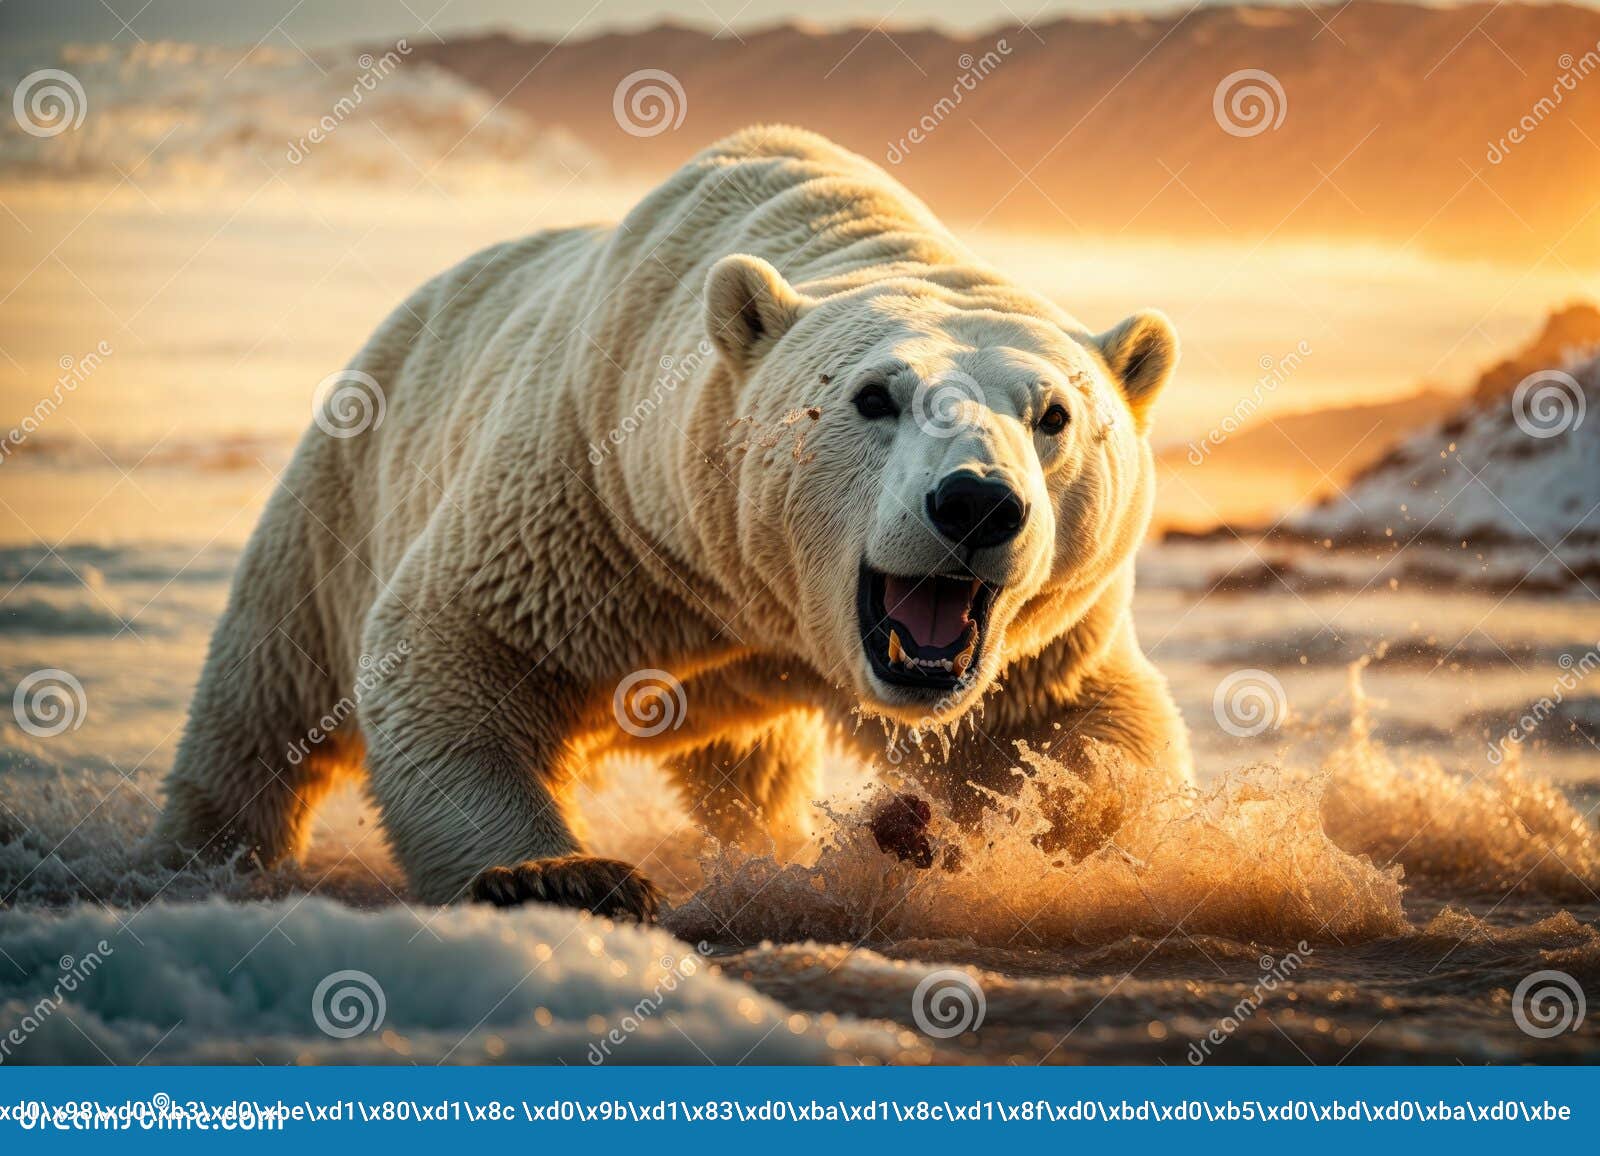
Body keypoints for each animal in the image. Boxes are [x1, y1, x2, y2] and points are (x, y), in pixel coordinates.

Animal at [152, 126, 1191, 919]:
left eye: (1053, 415)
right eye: (874, 396)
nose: (976, 501)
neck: (753, 598)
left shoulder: (1030, 647)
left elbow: (1073, 724)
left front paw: (1078, 837)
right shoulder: (593, 499)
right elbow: (456, 652)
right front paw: (564, 877)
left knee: (750, 771)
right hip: (347, 481)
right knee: (267, 693)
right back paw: (204, 854)